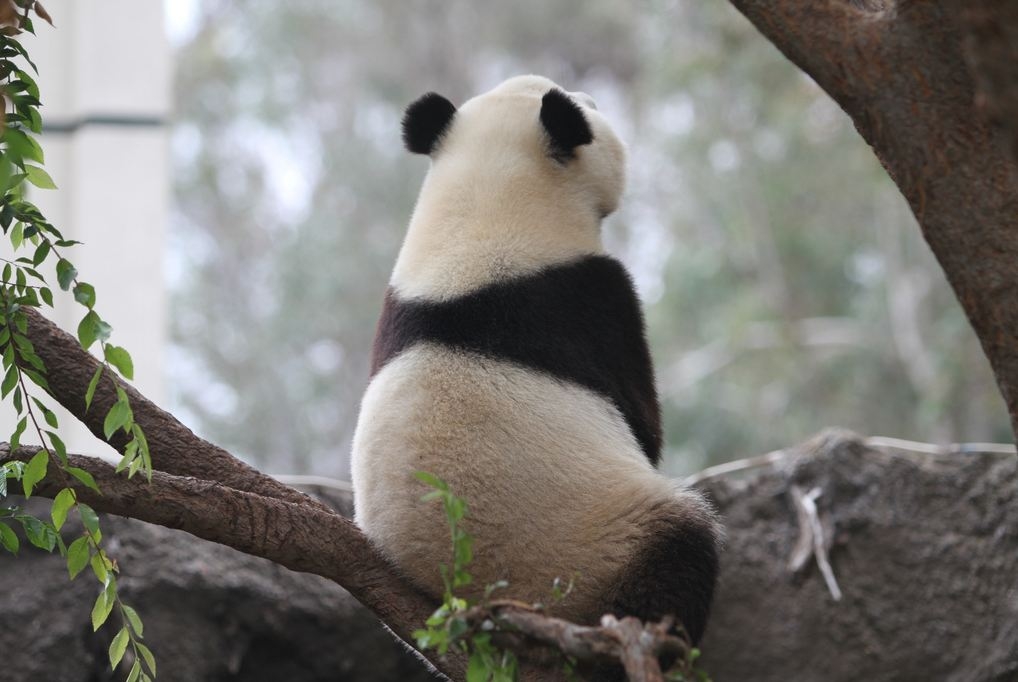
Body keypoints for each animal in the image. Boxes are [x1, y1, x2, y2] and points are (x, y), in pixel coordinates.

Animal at [351, 75, 721, 658]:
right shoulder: (591, 298)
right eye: (590, 106)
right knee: (679, 551)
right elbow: (644, 425)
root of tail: (469, 610)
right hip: (589, 550)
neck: (484, 207)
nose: (593, 99)